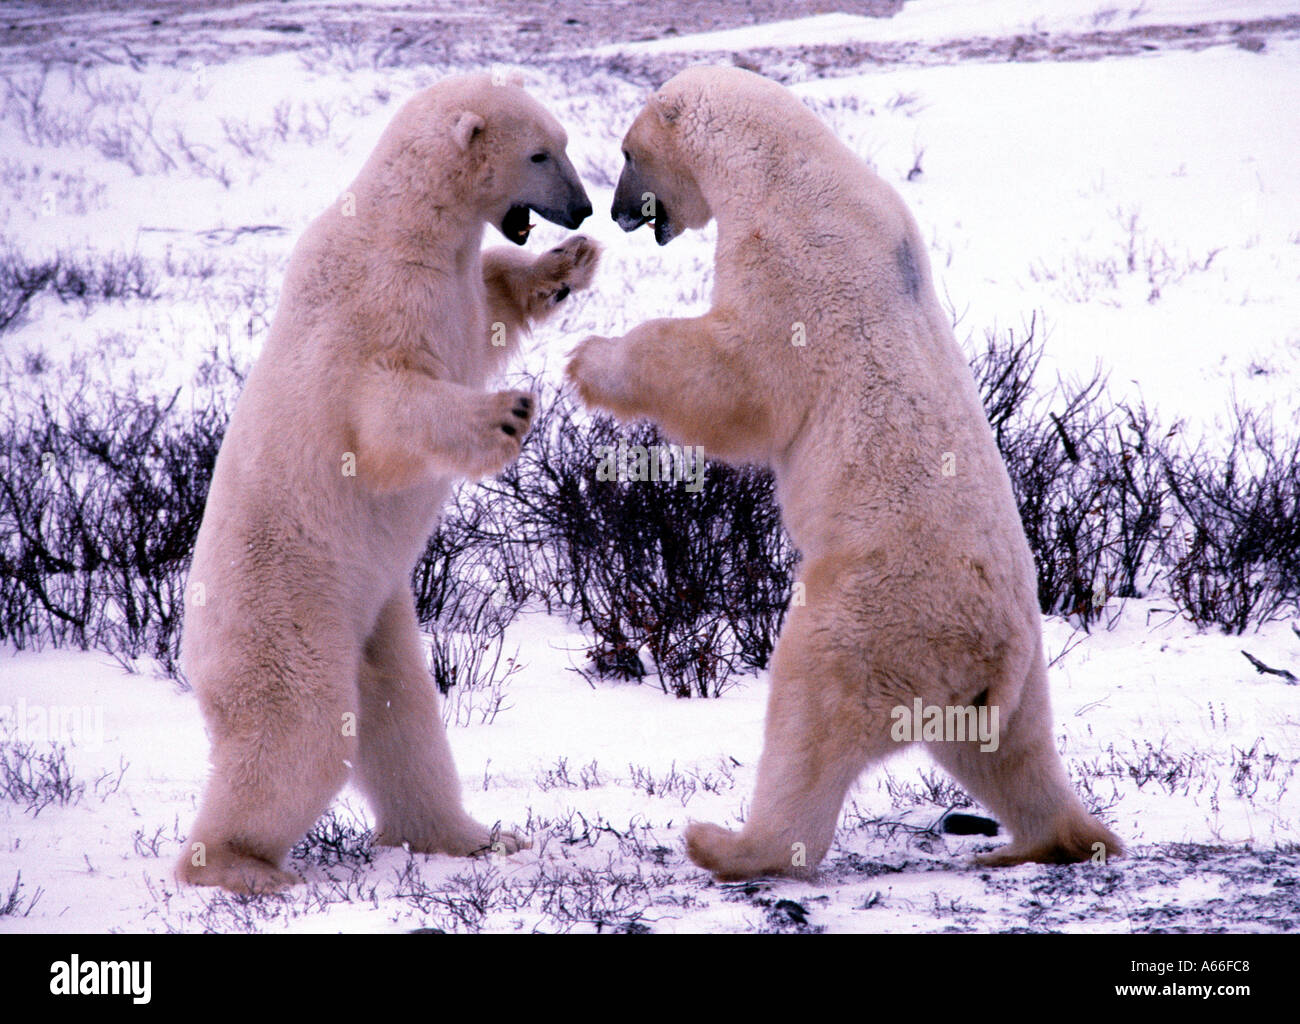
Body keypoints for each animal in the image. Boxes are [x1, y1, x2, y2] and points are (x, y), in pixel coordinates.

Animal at [176, 73, 600, 894]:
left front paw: (568, 263)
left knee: (400, 712)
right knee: (301, 730)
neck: (407, 225)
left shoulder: (454, 284)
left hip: (377, 612)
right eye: (540, 153)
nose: (585, 210)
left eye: (563, 142)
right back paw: (240, 865)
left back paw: (473, 836)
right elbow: (384, 414)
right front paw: (508, 412)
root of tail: (190, 650)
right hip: (290, 611)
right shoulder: (378, 299)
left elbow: (492, 302)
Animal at [566, 65, 1122, 881]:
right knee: (1011, 755)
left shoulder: (789, 256)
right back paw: (1052, 838)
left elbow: (735, 372)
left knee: (811, 708)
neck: (787, 164)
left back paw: (730, 843)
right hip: (1018, 680)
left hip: (876, 613)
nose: (615, 212)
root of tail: (994, 653)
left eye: (626, 152)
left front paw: (587, 359)